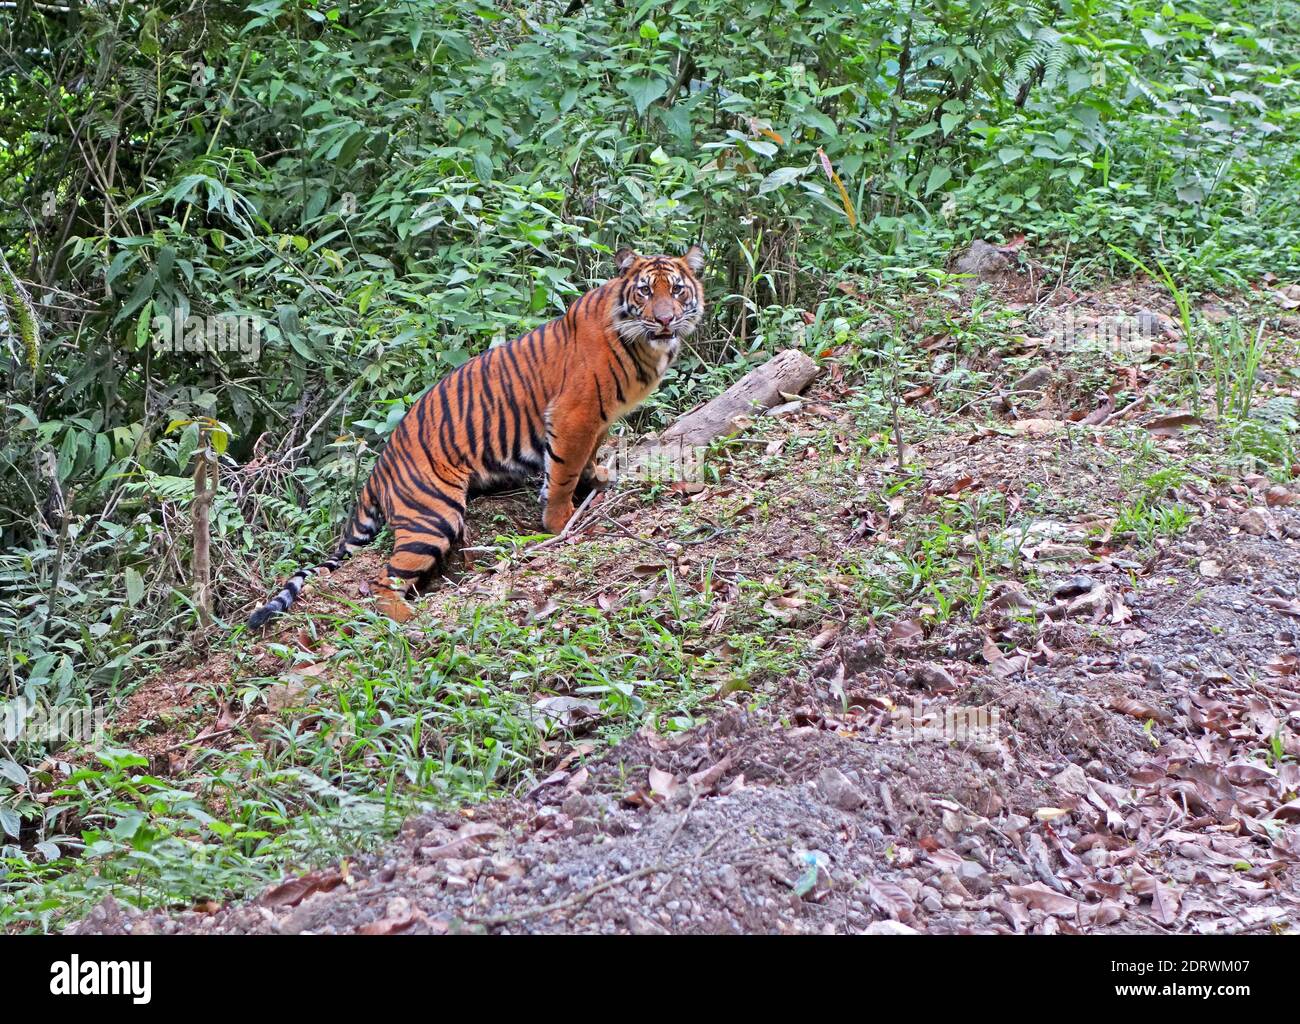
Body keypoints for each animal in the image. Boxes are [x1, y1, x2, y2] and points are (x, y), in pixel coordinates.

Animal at [247, 244, 705, 628]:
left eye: (676, 290)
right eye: (645, 292)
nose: (665, 319)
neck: (643, 344)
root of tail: (379, 468)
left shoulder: (598, 418)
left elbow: (586, 457)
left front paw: (596, 478)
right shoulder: (574, 414)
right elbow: (563, 471)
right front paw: (559, 522)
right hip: (432, 517)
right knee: (381, 581)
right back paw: (409, 620)